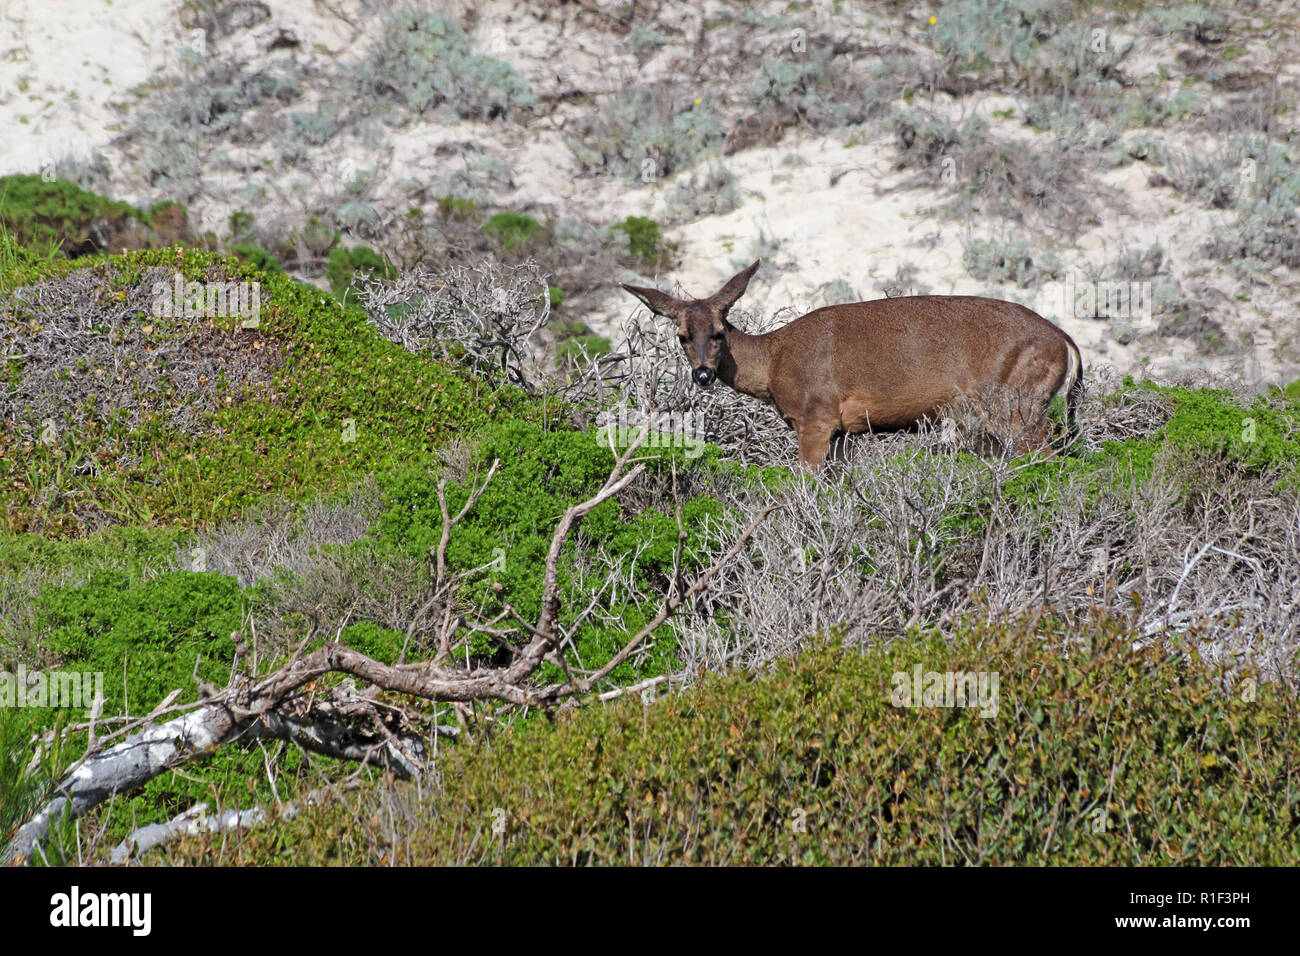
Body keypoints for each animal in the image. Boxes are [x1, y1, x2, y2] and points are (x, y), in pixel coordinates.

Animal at [622, 260, 1083, 471]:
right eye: (681, 336)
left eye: (719, 332)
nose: (702, 374)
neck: (774, 362)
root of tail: (1064, 339)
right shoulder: (843, 430)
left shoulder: (816, 415)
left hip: (1015, 402)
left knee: (1050, 458)